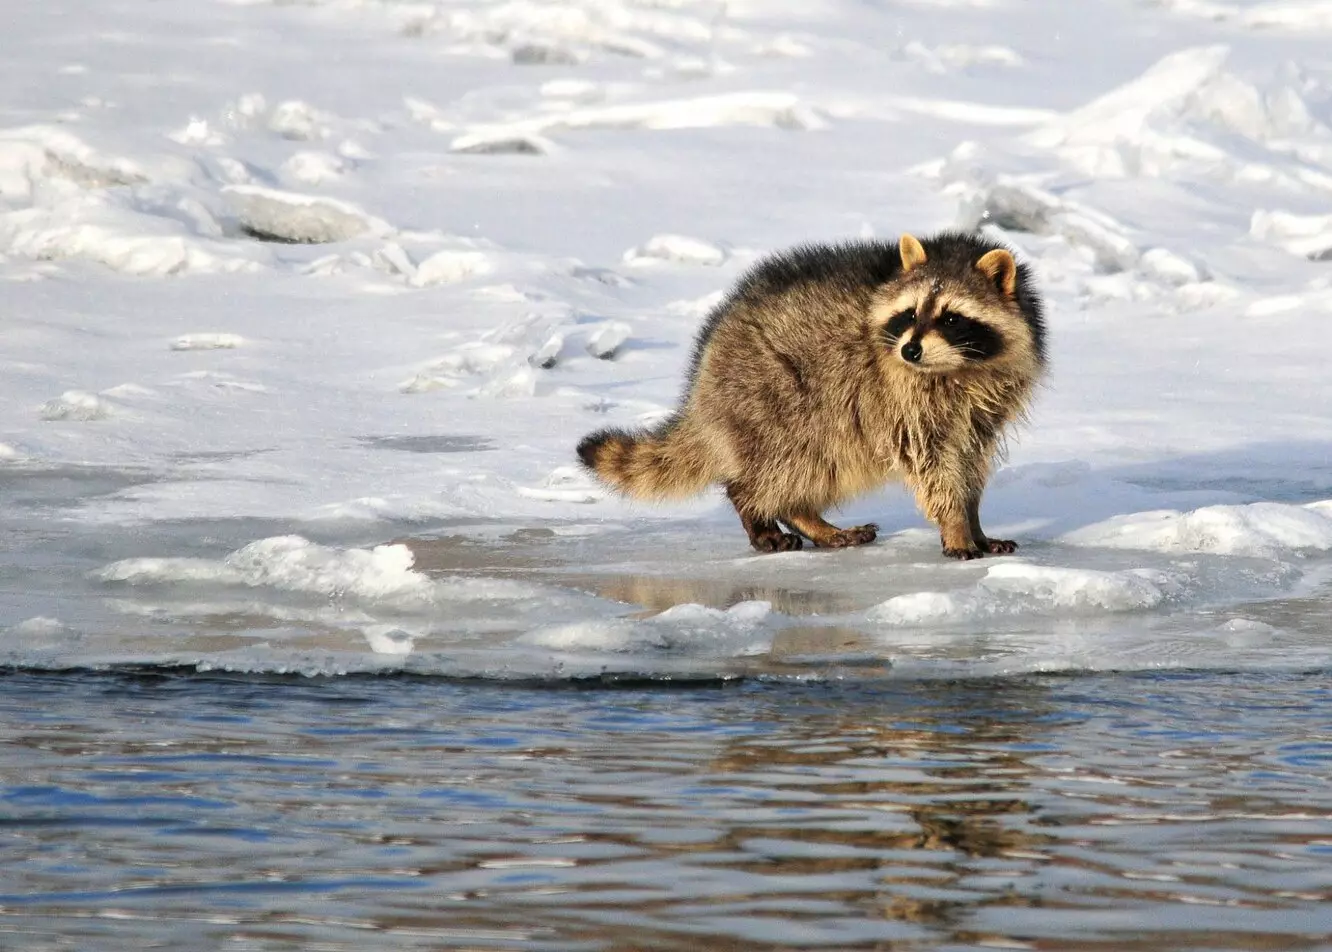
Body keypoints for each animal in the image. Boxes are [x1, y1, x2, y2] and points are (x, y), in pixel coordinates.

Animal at [578, 230, 1044, 559]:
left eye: (950, 318)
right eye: (910, 314)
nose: (910, 350)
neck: (957, 369)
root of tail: (705, 369)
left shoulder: (983, 406)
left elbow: (969, 463)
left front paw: (975, 522)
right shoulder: (903, 398)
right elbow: (931, 464)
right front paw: (955, 525)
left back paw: (804, 517)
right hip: (774, 395)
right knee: (790, 463)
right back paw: (763, 510)